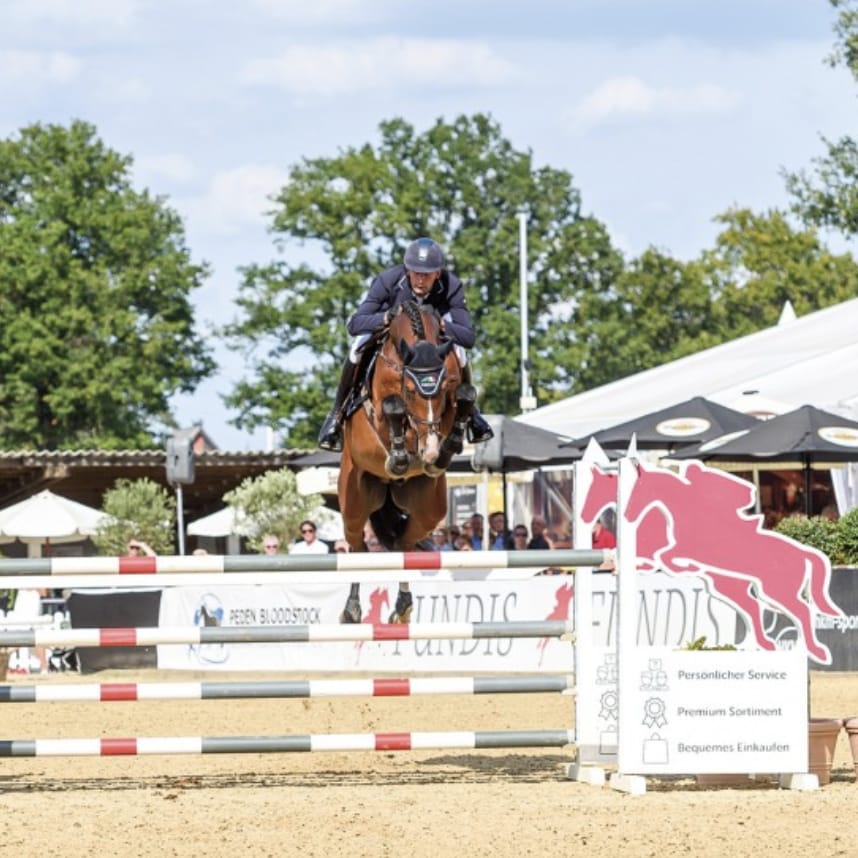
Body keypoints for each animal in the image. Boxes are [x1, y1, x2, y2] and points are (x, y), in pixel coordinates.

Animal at [337, 300, 478, 623]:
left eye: (441, 389)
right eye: (412, 391)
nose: (429, 452)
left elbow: (465, 395)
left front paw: (445, 449)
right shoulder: (380, 412)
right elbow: (393, 407)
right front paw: (401, 456)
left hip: (430, 509)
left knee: (404, 545)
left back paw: (402, 606)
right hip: (354, 499)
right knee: (357, 546)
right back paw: (351, 609)